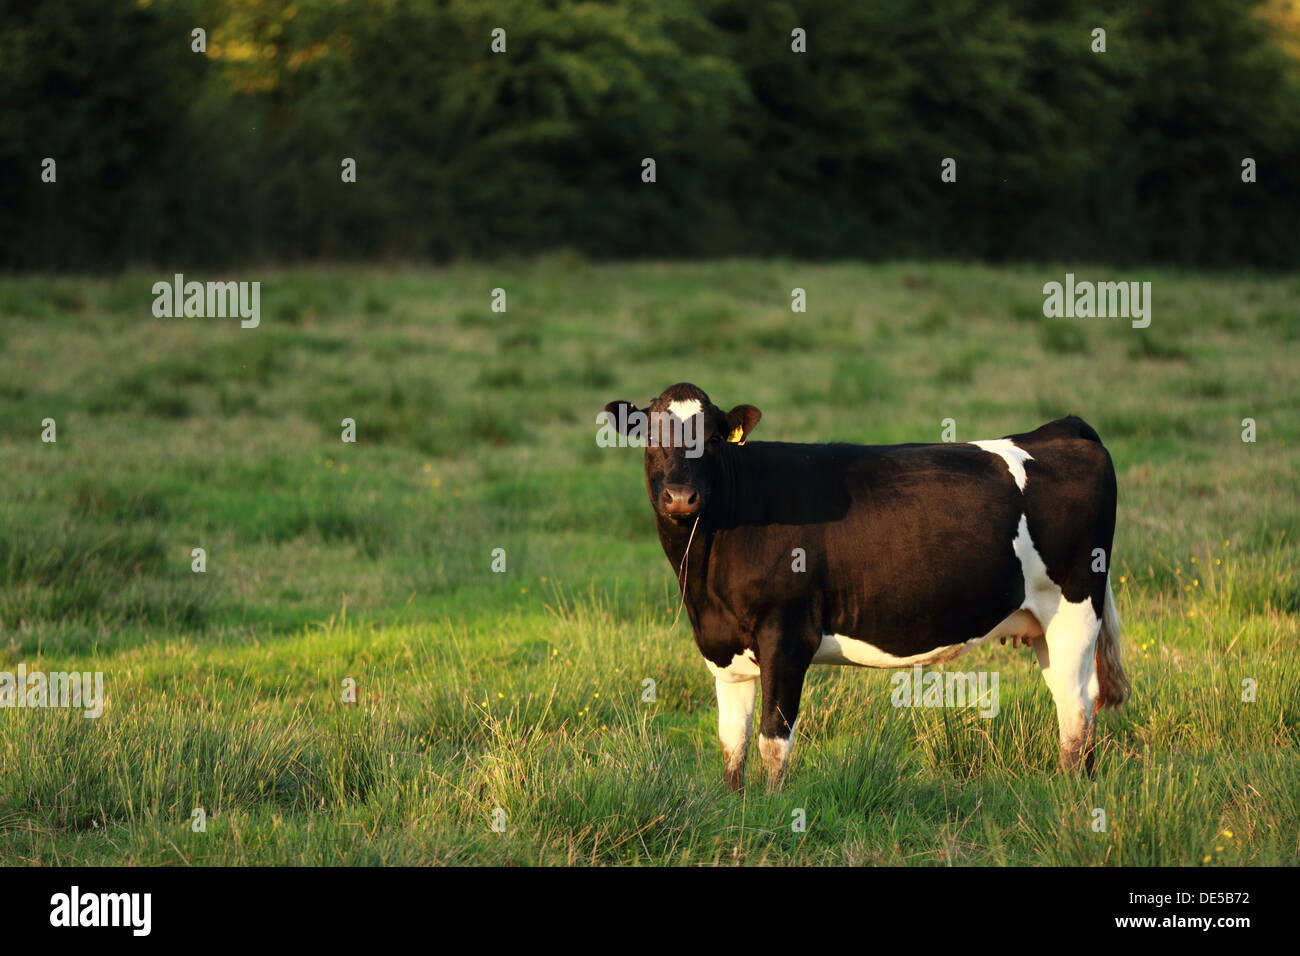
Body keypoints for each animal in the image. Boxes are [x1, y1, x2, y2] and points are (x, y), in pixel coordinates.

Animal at [603, 382, 1130, 789]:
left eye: (712, 439)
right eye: (651, 435)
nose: (681, 497)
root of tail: (1062, 428)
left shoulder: (786, 635)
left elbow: (774, 739)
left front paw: (772, 812)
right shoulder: (723, 649)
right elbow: (733, 744)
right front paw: (738, 809)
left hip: (1075, 608)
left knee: (1078, 707)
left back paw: (1071, 792)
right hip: (1043, 624)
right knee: (1068, 701)